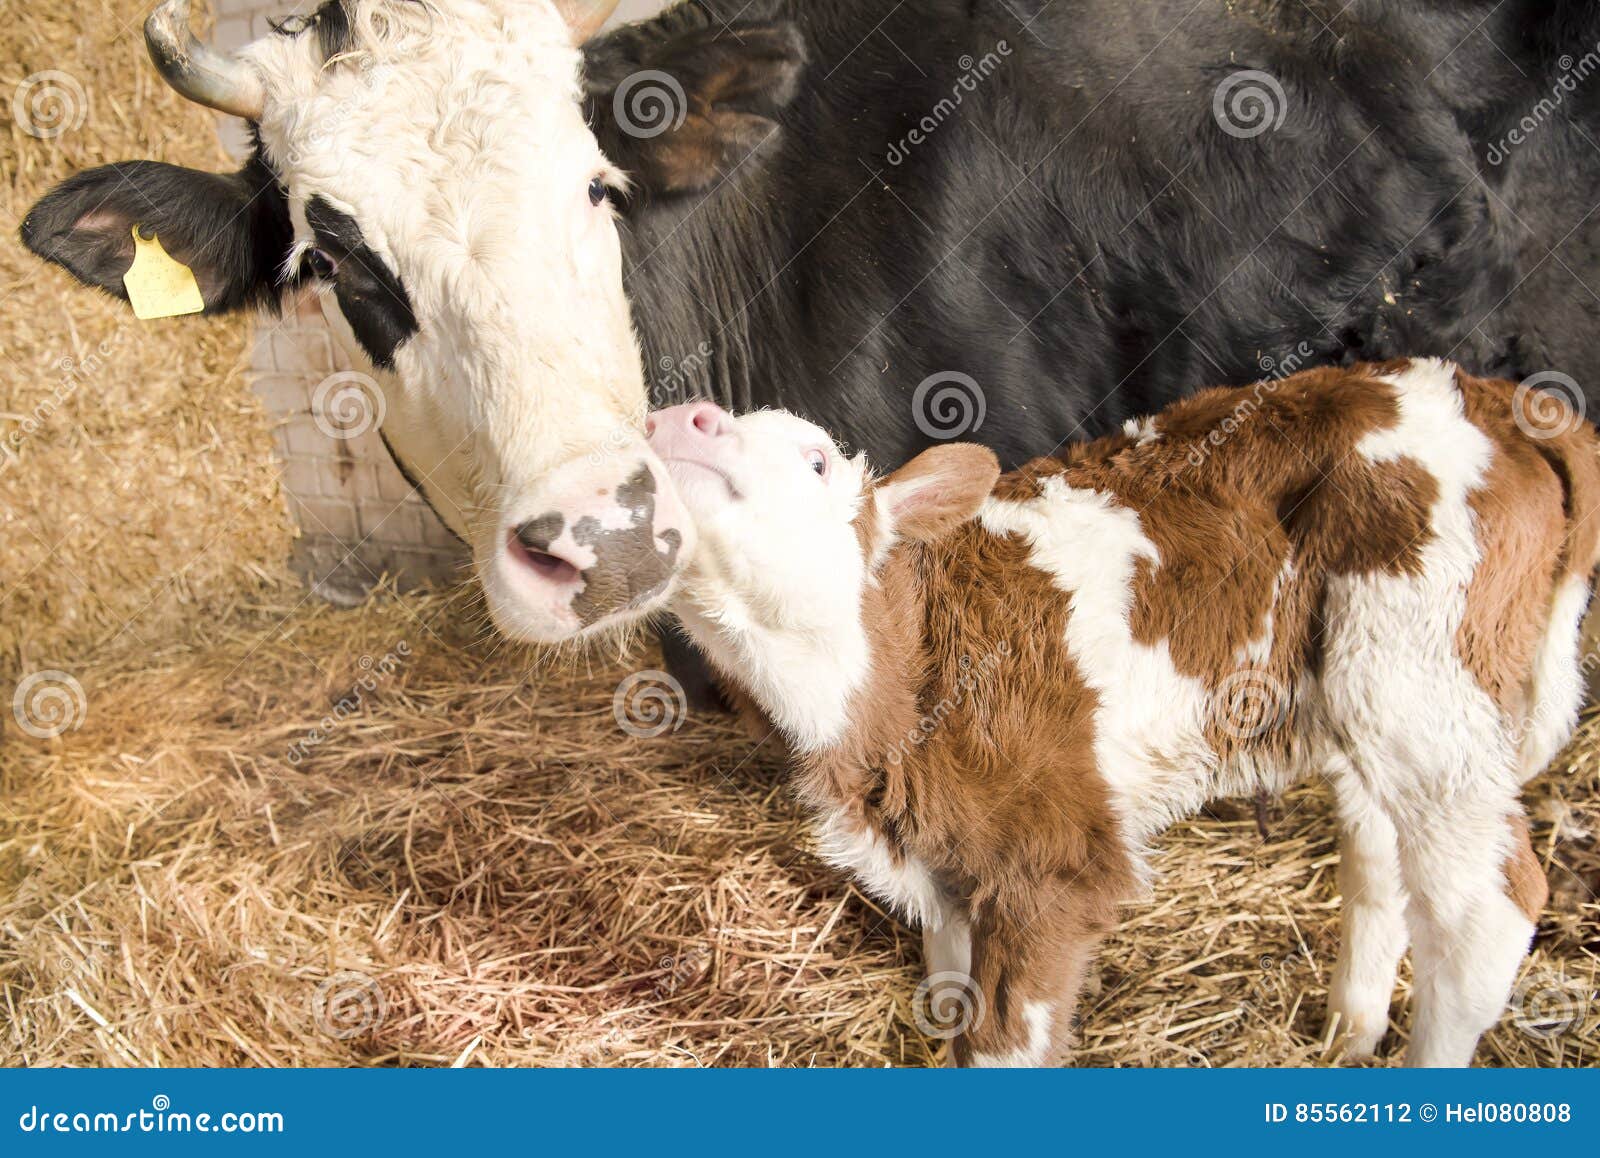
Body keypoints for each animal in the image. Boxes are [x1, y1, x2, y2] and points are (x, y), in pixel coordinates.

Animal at [644, 357, 1600, 1066]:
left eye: (813, 460)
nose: (683, 418)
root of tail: (1496, 398)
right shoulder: (946, 862)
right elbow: (951, 1003)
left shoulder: (1052, 865)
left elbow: (1002, 1045)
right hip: (1360, 691)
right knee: (1380, 855)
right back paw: (1348, 1033)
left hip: (1422, 682)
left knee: (1485, 910)